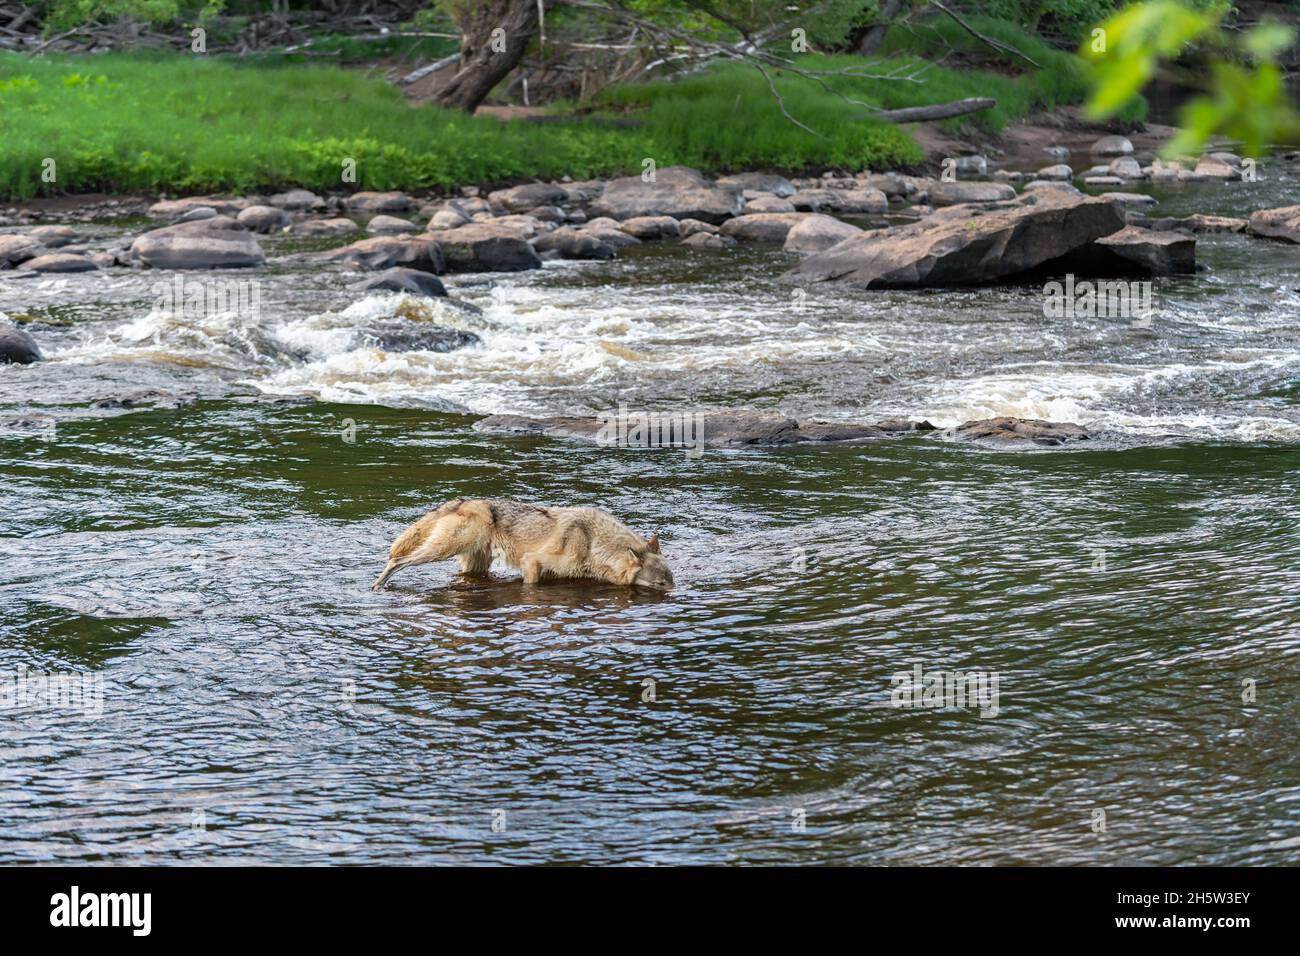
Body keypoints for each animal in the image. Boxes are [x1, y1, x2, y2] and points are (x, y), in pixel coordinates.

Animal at [371, 498, 674, 591]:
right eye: (661, 585)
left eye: (672, 581)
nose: (676, 594)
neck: (593, 543)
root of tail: (463, 501)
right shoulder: (533, 563)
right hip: (439, 551)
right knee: (397, 560)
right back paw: (378, 585)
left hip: (473, 565)